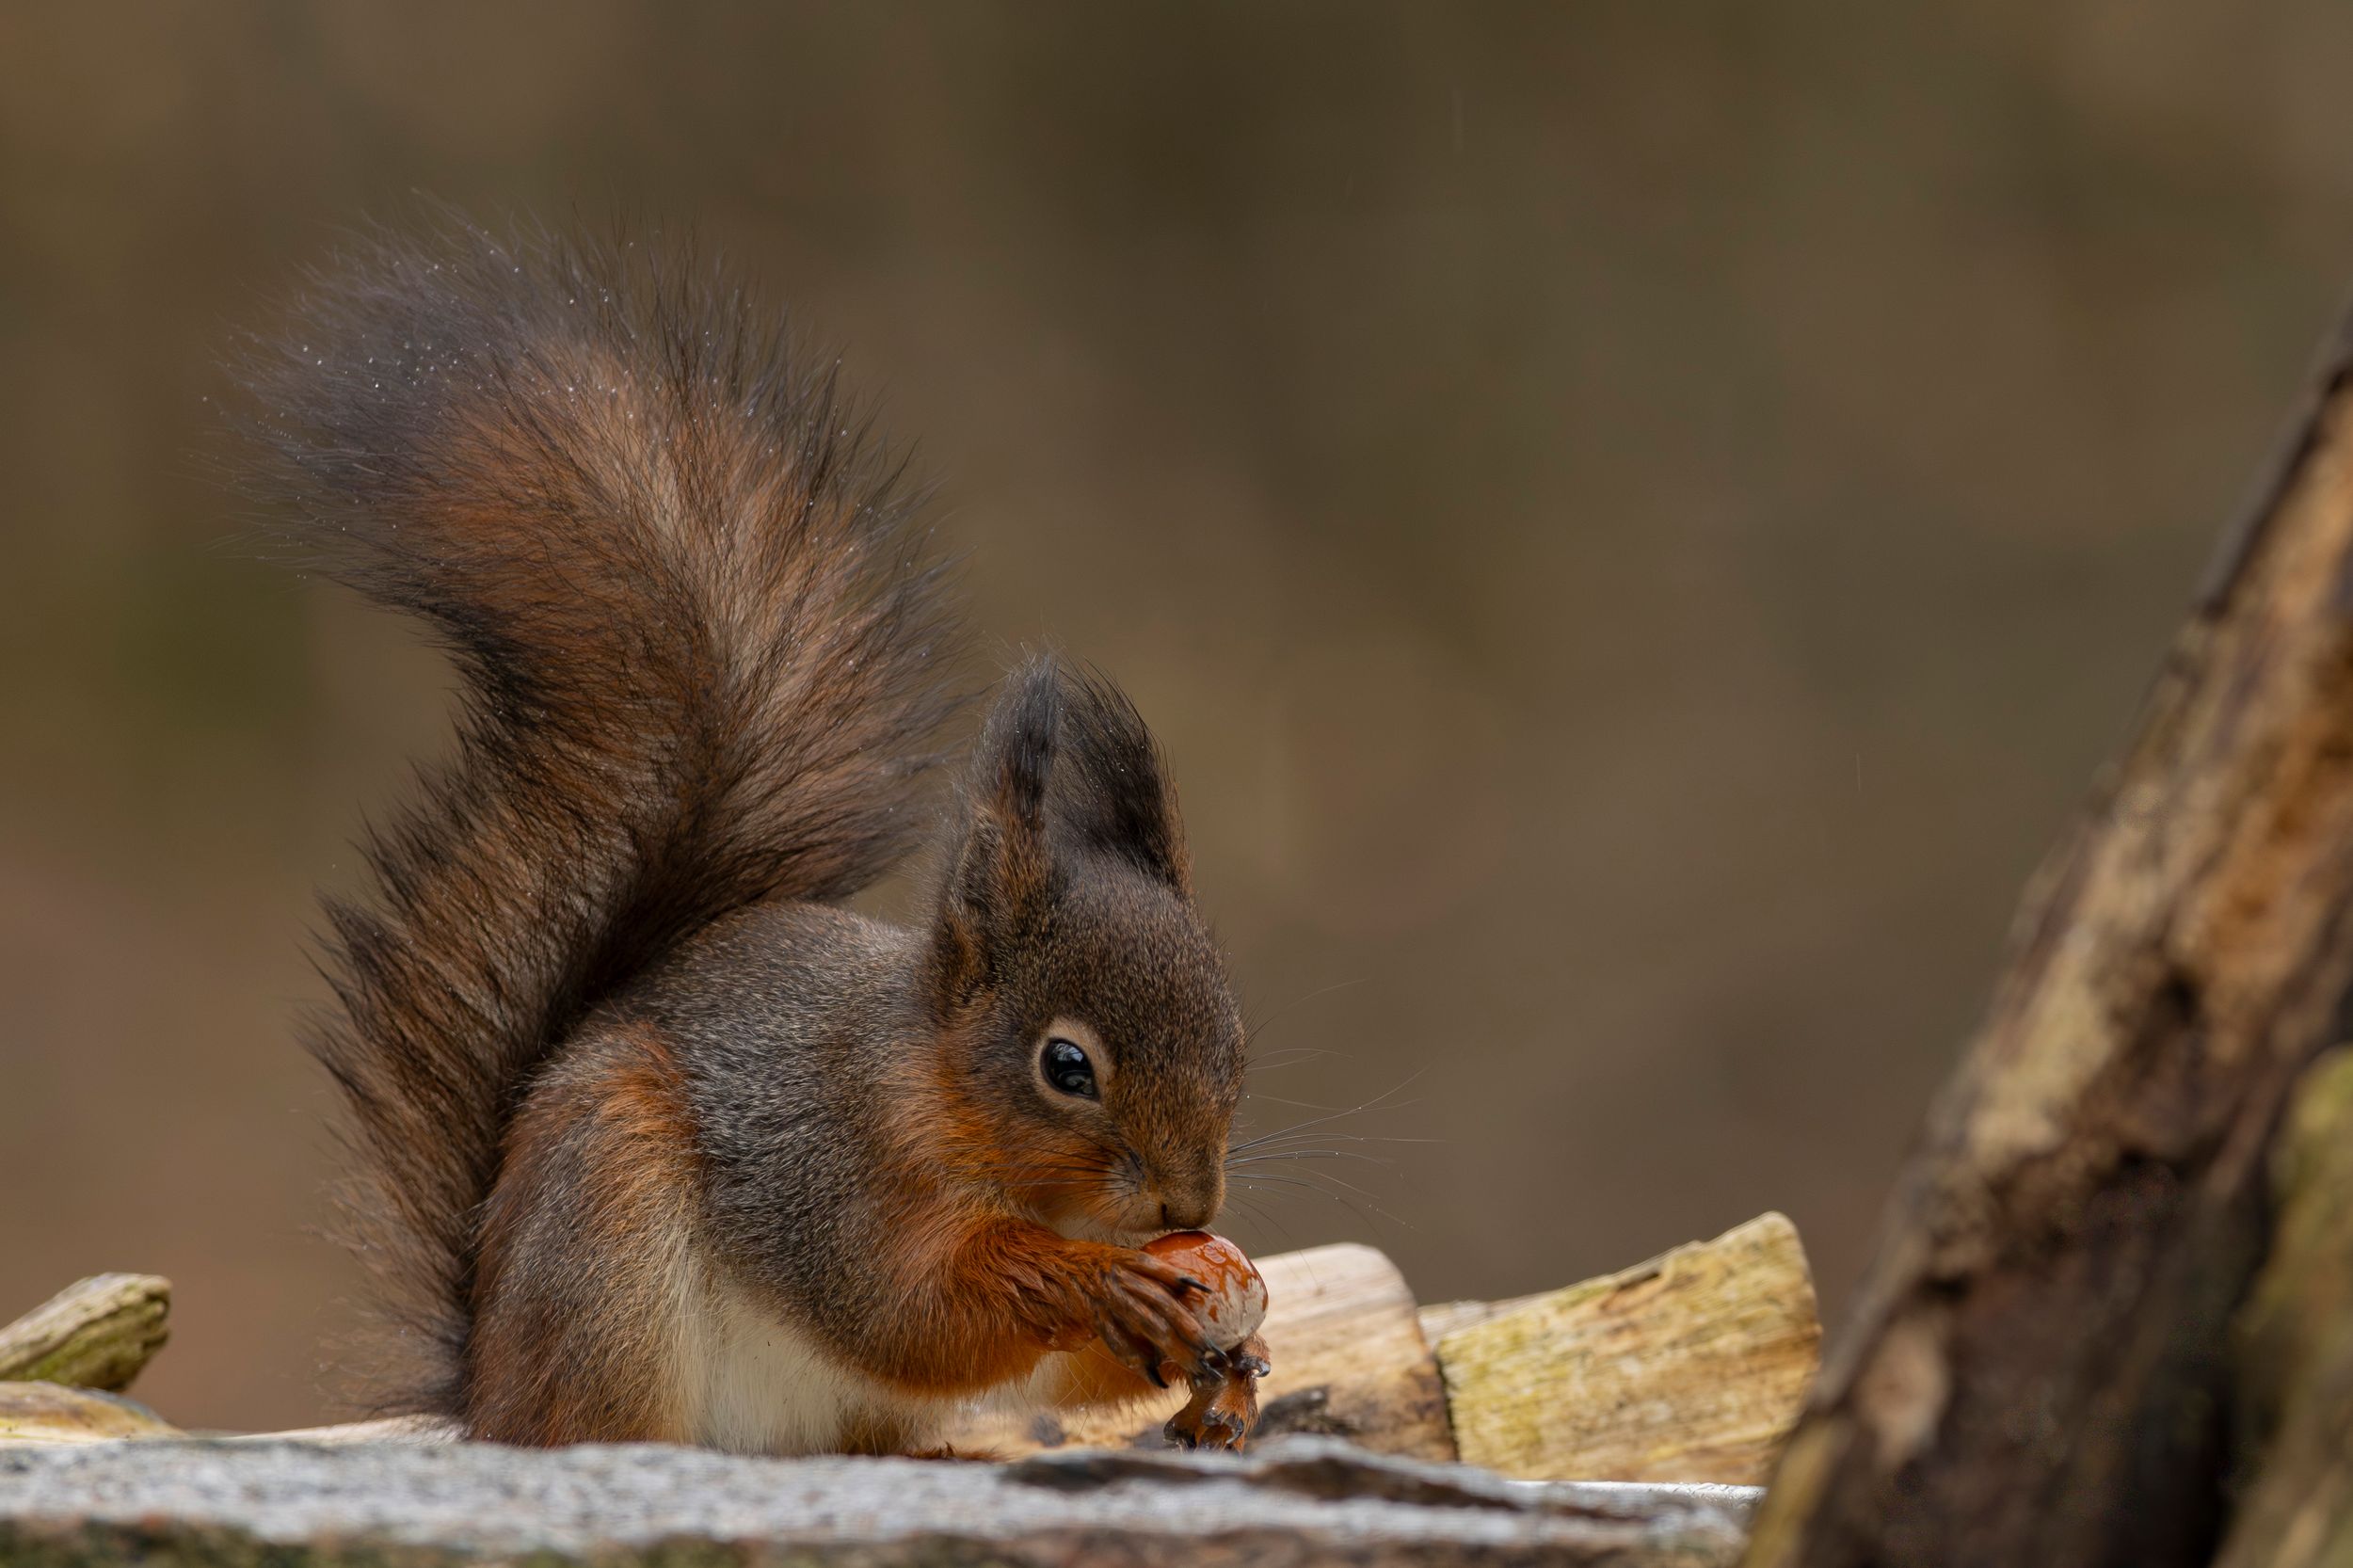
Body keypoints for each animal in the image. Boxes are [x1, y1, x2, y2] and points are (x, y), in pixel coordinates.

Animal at [237, 219, 1263, 1454]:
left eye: (1238, 1041)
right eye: (1065, 1066)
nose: (1188, 1204)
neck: (934, 1091)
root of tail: (486, 1389)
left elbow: (1052, 1374)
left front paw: (1223, 1341)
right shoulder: (826, 1173)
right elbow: (907, 1309)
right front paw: (1085, 1279)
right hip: (610, 1236)